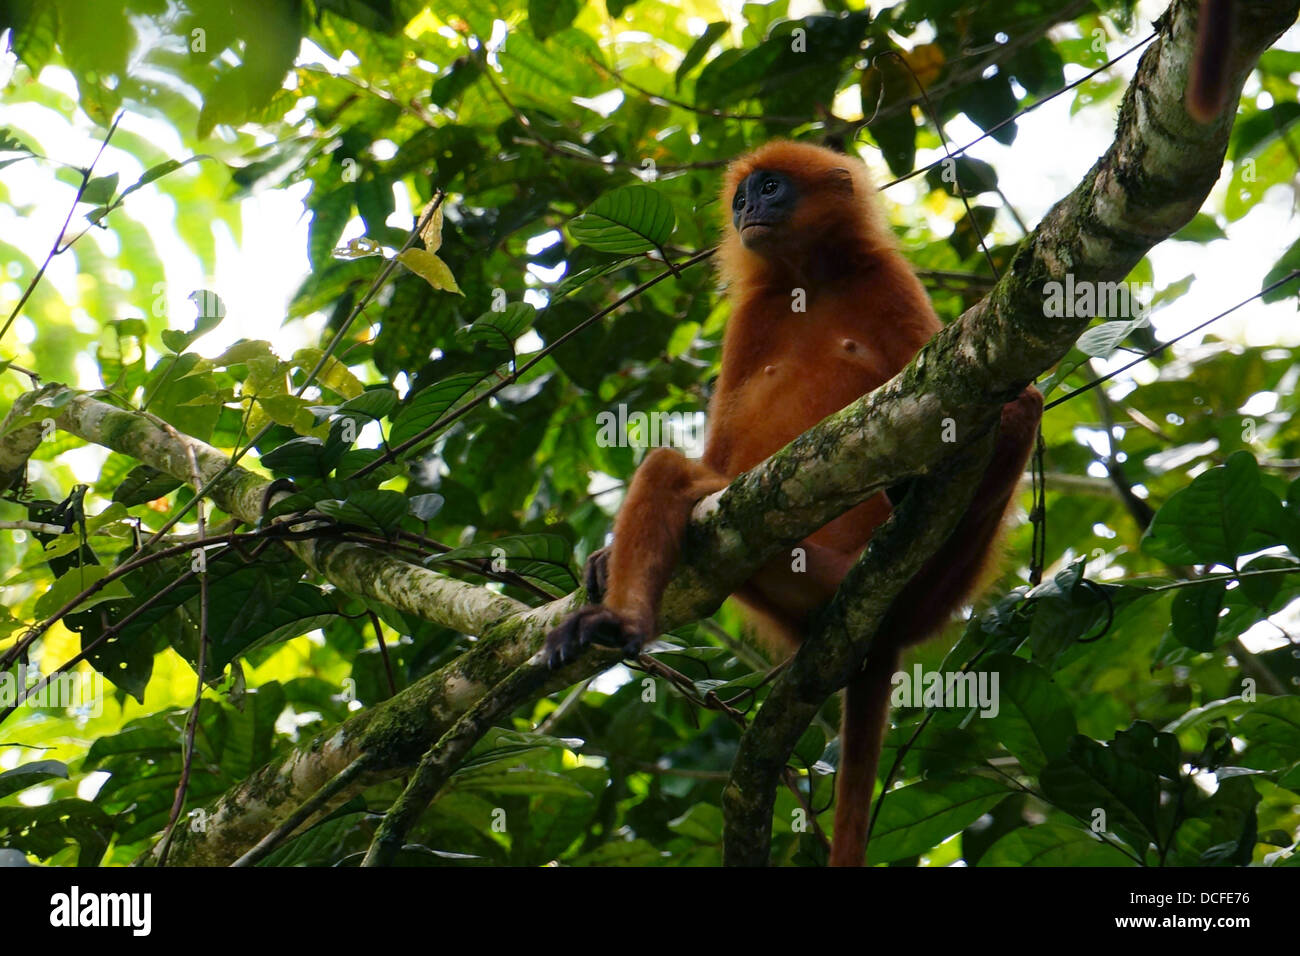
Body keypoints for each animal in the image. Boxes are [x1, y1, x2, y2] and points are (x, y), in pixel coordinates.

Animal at [544, 140, 1042, 867]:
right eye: (740, 196)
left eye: (771, 188)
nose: (745, 208)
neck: (813, 277)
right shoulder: (755, 315)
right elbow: (716, 461)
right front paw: (611, 558)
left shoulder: (887, 281)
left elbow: (973, 397)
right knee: (678, 477)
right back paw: (619, 617)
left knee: (1022, 407)